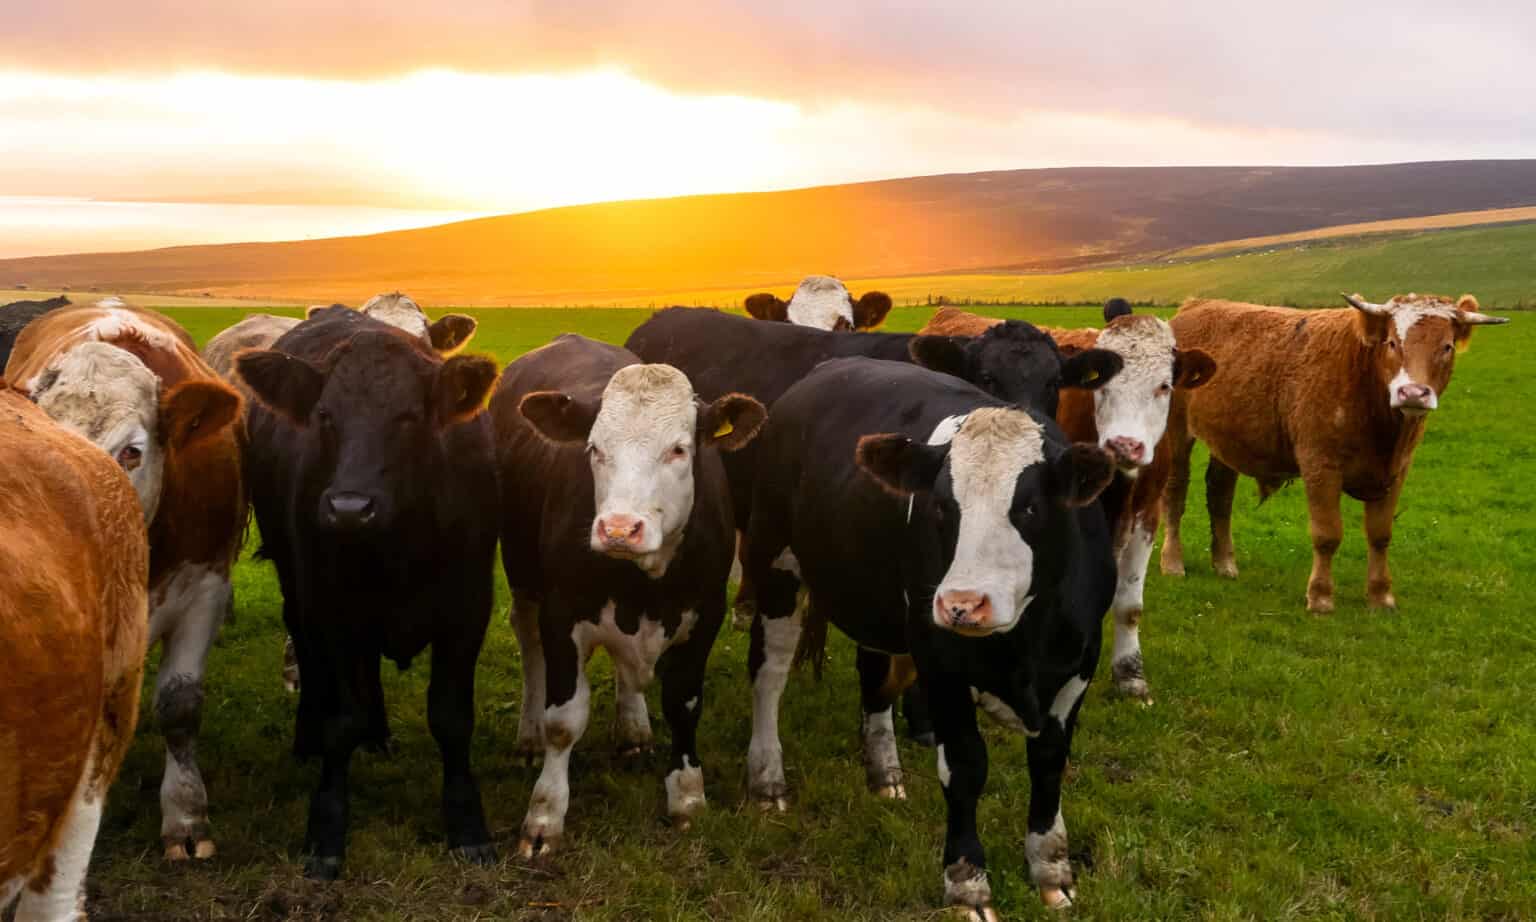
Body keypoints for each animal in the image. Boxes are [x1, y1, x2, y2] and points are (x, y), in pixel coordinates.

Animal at [235, 306, 500, 878]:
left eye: (409, 417)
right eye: (325, 416)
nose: (349, 508)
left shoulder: (469, 610)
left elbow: (452, 718)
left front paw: (468, 826)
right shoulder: (332, 610)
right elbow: (341, 720)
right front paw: (326, 828)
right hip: (297, 585)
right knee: (310, 657)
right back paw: (308, 738)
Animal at [491, 334, 766, 856]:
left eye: (679, 450)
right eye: (595, 449)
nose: (619, 528)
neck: (645, 581)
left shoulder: (705, 615)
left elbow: (684, 705)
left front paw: (687, 796)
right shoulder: (561, 614)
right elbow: (564, 719)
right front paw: (544, 814)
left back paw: (634, 727)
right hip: (521, 569)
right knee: (528, 639)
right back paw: (528, 734)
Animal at [743, 357, 1117, 917]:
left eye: (1030, 507)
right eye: (941, 506)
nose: (963, 602)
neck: (1024, 646)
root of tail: (828, 368)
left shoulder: (1080, 663)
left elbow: (1050, 763)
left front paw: (1051, 868)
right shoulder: (941, 662)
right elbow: (965, 767)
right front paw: (967, 882)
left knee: (875, 680)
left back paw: (885, 774)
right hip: (775, 564)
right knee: (769, 675)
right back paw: (768, 778)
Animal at [919, 302, 1217, 701]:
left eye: (1164, 386)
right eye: (1101, 388)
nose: (1124, 444)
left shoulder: (1147, 510)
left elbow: (1129, 605)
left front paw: (1130, 674)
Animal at [1161, 293, 1507, 613]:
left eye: (1447, 346)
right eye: (1392, 343)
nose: (1413, 393)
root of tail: (1194, 305)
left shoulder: (1397, 471)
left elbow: (1380, 534)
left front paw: (1381, 595)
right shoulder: (1320, 464)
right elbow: (1327, 534)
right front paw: (1320, 596)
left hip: (1227, 440)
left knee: (1220, 495)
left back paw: (1224, 563)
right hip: (1175, 434)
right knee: (1175, 494)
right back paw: (1173, 562)